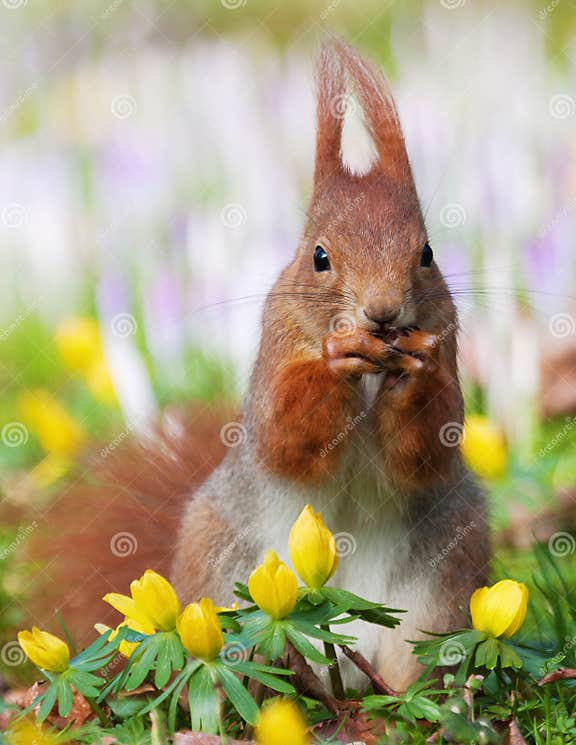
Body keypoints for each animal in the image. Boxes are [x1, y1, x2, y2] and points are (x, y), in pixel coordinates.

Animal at [22, 39, 489, 693]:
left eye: (426, 253)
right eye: (318, 256)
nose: (382, 314)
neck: (374, 373)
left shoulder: (447, 343)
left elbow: (428, 449)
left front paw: (415, 371)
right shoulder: (277, 350)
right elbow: (283, 435)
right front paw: (334, 361)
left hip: (440, 584)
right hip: (224, 571)